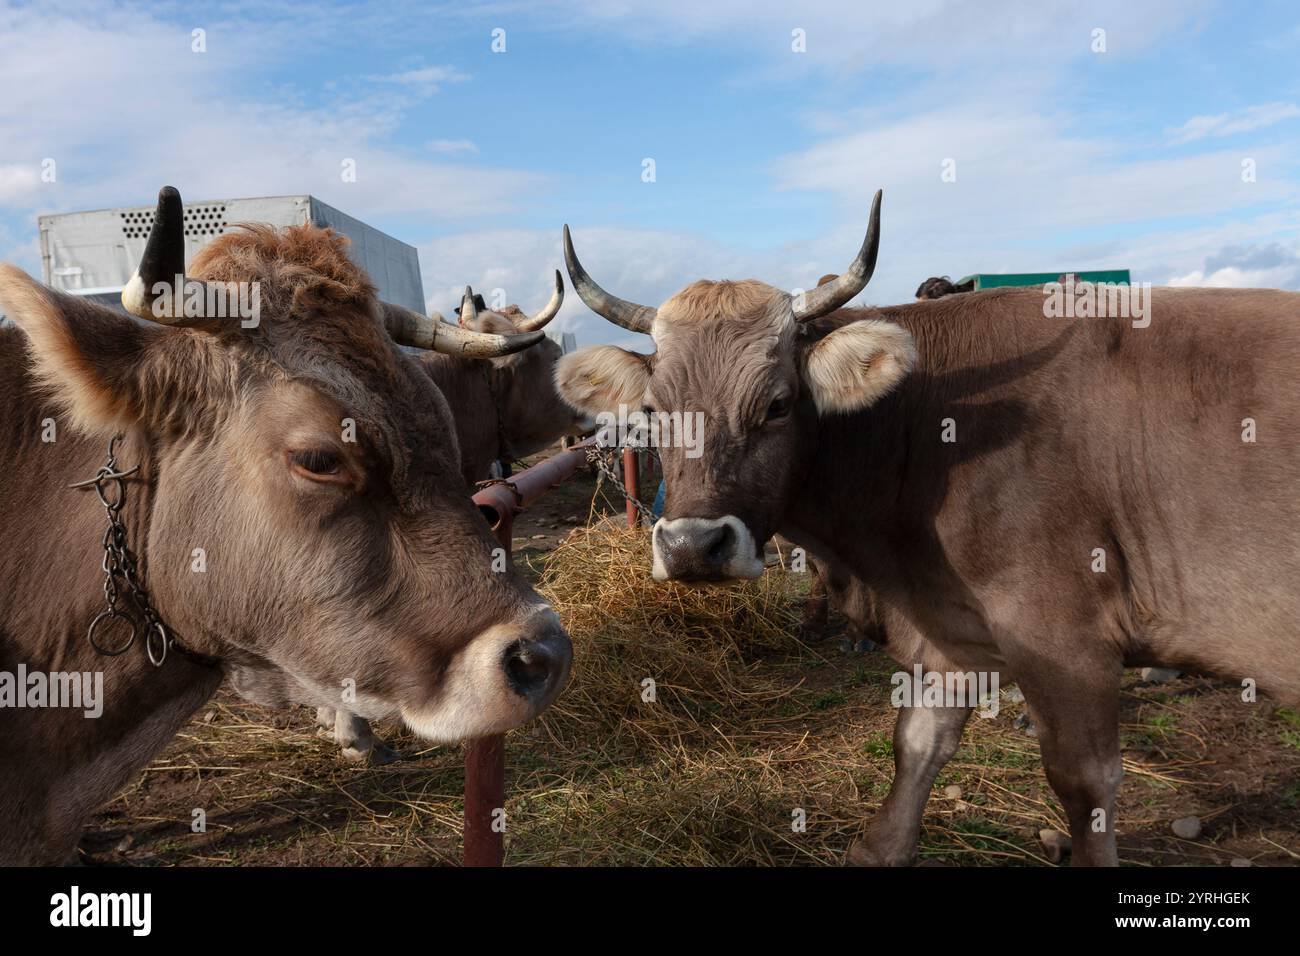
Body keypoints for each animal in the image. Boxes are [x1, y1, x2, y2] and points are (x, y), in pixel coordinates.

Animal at [552, 190, 1300, 866]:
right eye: (654, 409)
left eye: (778, 404)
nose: (692, 547)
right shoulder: (953, 628)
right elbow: (916, 748)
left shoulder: (1063, 634)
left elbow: (1085, 785)